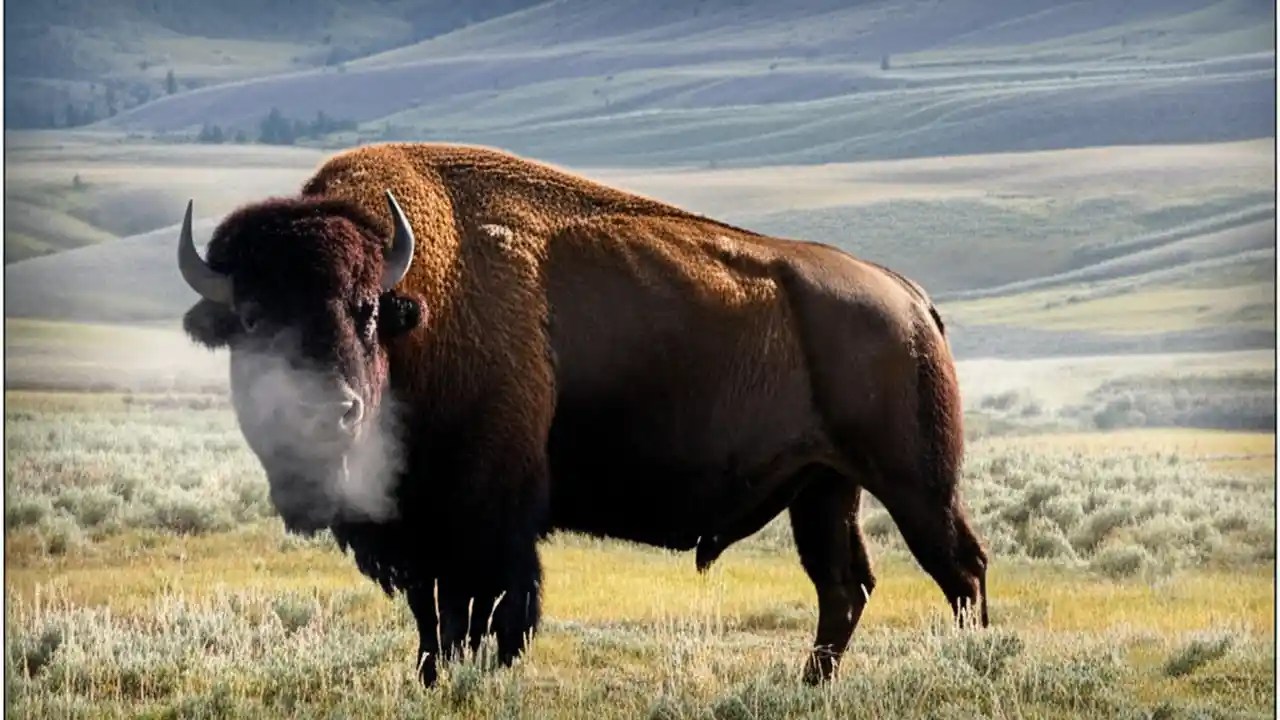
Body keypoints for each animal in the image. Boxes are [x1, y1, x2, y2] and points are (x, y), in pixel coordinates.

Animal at [177, 142, 989, 687]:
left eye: (367, 311)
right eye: (250, 319)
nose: (324, 413)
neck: (423, 309)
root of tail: (908, 295)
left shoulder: (485, 524)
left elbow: (485, 617)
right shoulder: (422, 537)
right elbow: (434, 623)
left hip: (915, 484)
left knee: (961, 570)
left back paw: (974, 666)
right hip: (822, 488)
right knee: (843, 586)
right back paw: (808, 686)